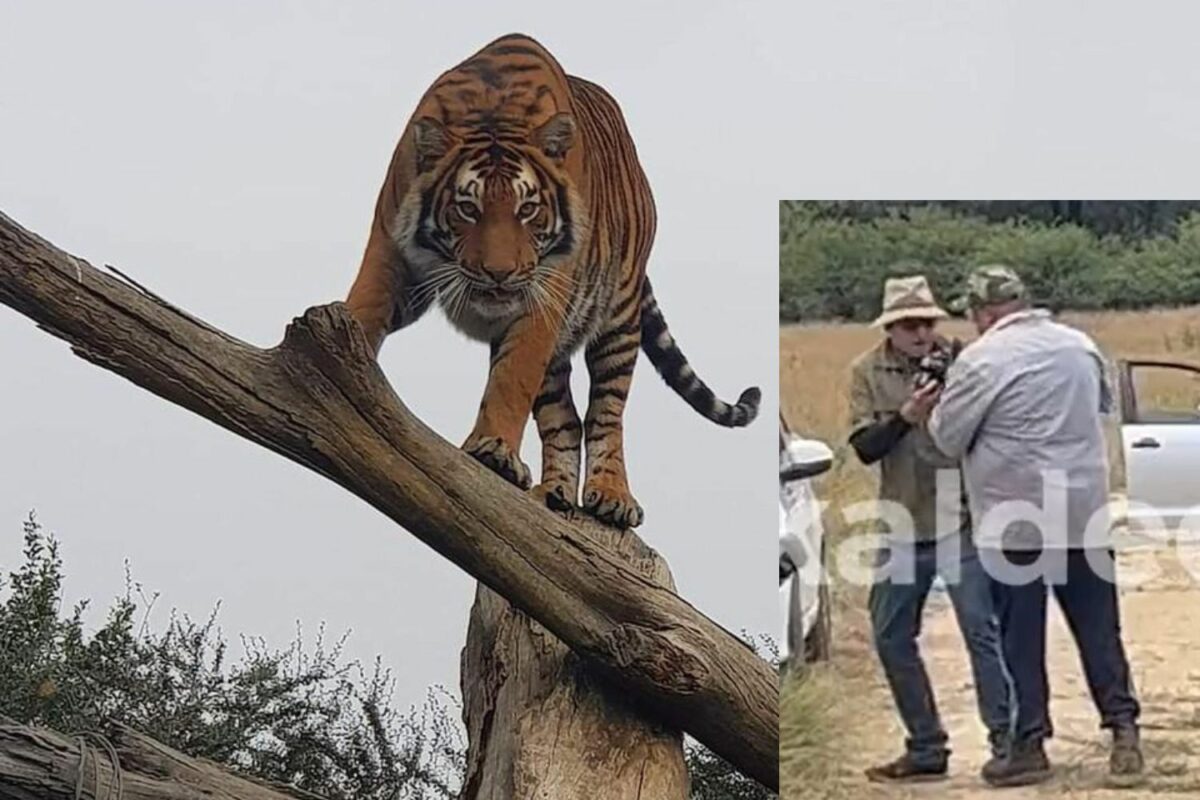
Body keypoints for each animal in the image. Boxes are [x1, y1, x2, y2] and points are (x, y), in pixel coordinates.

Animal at [345, 33, 759, 529]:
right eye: (468, 208)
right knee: (565, 419)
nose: (499, 273)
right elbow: (364, 309)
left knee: (605, 413)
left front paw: (495, 452)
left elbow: (511, 382)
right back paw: (554, 493)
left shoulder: (541, 299)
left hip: (618, 318)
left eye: (527, 209)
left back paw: (612, 495)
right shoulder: (390, 253)